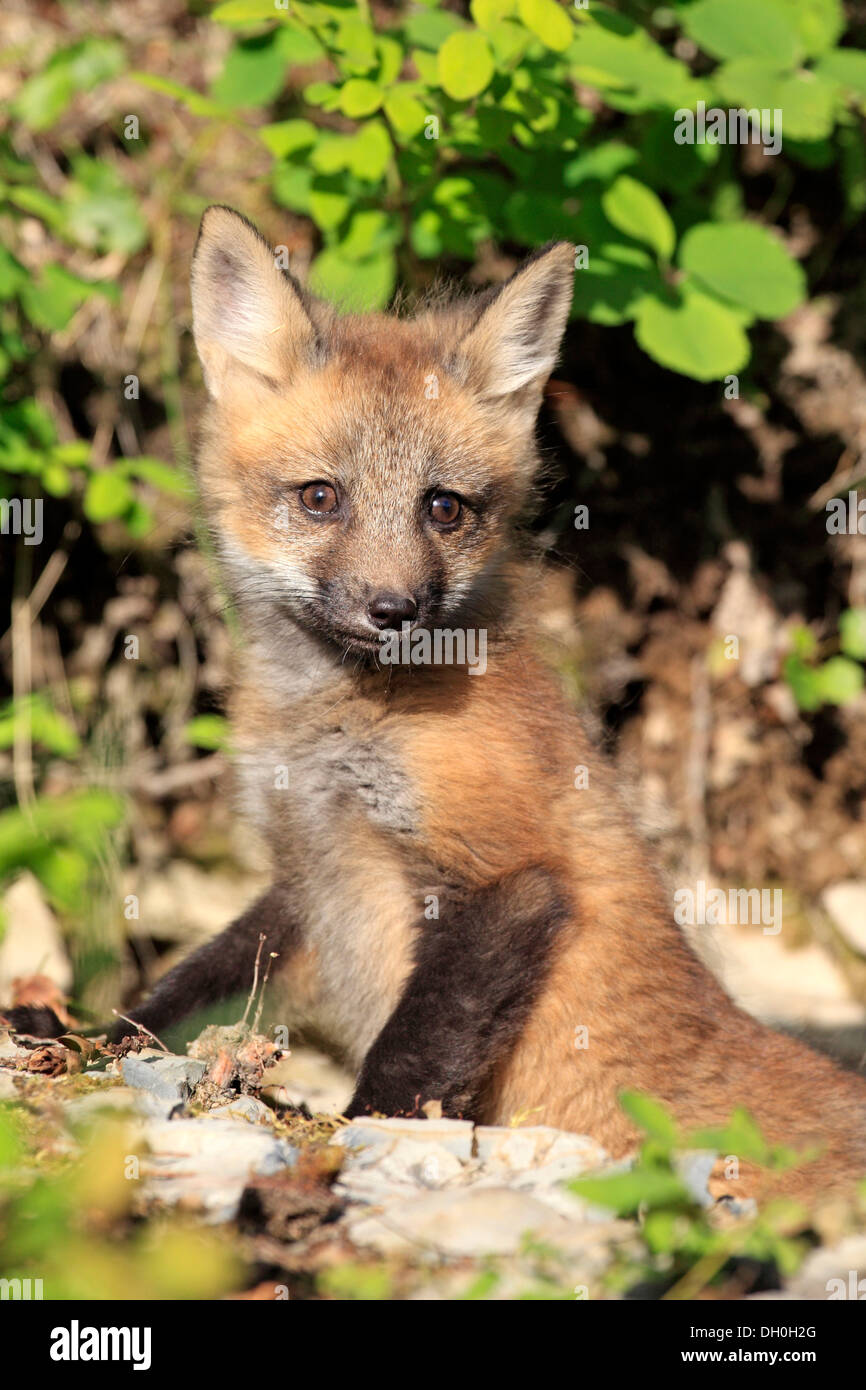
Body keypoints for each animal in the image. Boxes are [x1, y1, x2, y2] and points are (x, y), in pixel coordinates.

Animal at [10, 206, 866, 1202]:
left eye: (444, 508)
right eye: (321, 498)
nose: (395, 608)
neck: (341, 732)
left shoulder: (505, 876)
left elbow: (410, 1058)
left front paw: (356, 1141)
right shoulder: (304, 882)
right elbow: (182, 993)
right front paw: (85, 1042)